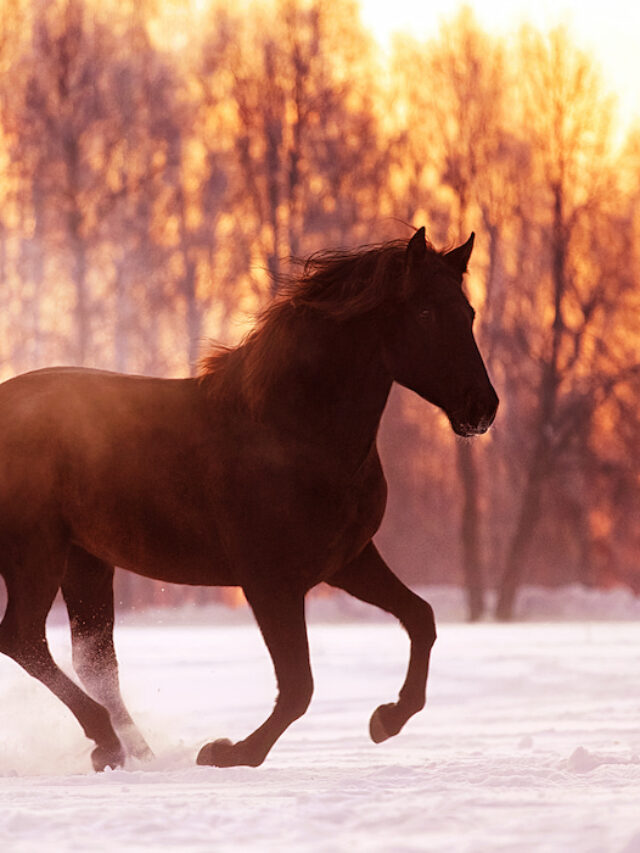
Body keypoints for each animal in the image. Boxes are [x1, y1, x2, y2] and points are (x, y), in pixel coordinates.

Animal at [0, 227, 498, 771]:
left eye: (469, 313)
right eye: (425, 312)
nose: (482, 408)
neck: (292, 430)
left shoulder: (348, 561)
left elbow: (421, 618)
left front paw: (387, 718)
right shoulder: (269, 580)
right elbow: (299, 686)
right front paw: (230, 752)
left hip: (84, 560)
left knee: (93, 660)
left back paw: (134, 752)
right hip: (36, 555)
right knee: (23, 638)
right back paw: (109, 741)